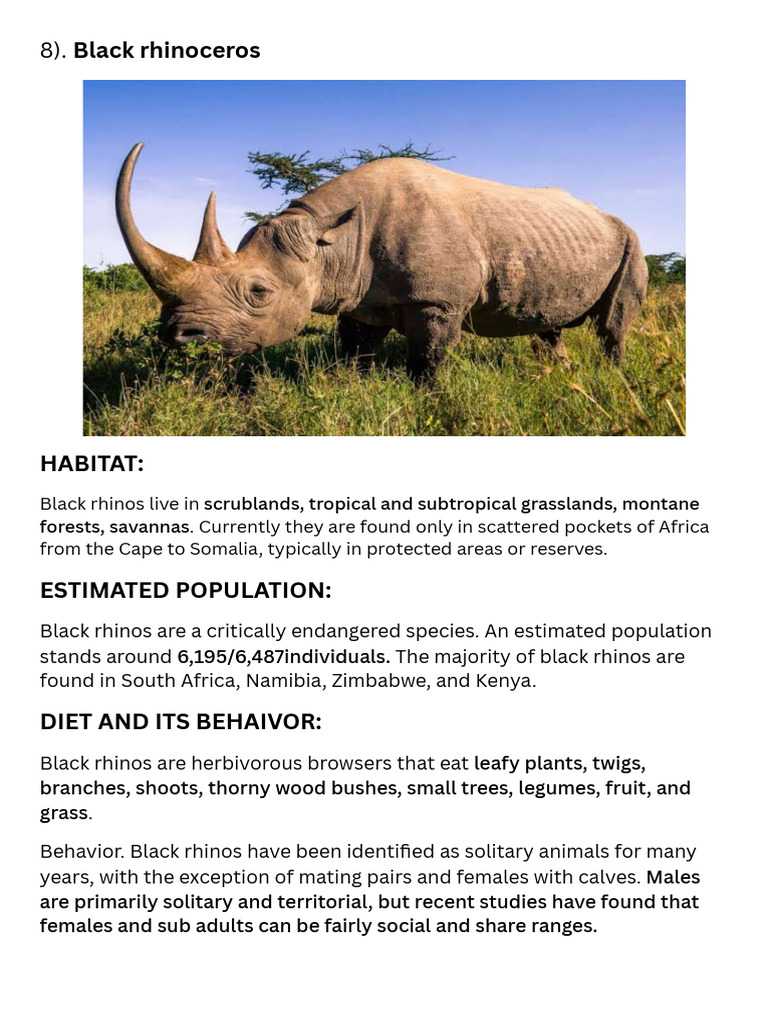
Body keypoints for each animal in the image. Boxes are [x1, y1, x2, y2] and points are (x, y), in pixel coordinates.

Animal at [116, 143, 647, 376]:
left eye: (259, 292)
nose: (177, 336)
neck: (330, 242)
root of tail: (607, 215)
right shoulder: (358, 297)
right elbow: (353, 352)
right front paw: (350, 384)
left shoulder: (437, 299)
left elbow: (428, 359)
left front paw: (430, 396)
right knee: (549, 322)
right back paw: (560, 375)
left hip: (630, 239)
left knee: (614, 320)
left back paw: (611, 375)